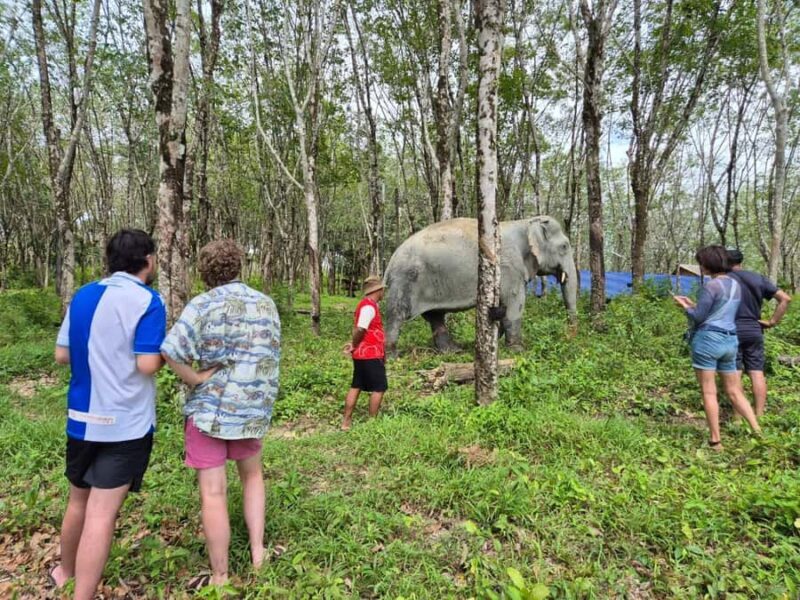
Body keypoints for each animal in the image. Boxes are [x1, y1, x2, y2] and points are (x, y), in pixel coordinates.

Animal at [383, 216, 578, 354]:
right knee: (397, 314)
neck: (525, 222)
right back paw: (392, 355)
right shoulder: (508, 267)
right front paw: (518, 351)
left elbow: (502, 306)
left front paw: (496, 341)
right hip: (405, 279)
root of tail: (391, 261)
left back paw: (453, 351)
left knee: (435, 316)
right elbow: (514, 303)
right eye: (564, 246)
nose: (569, 337)